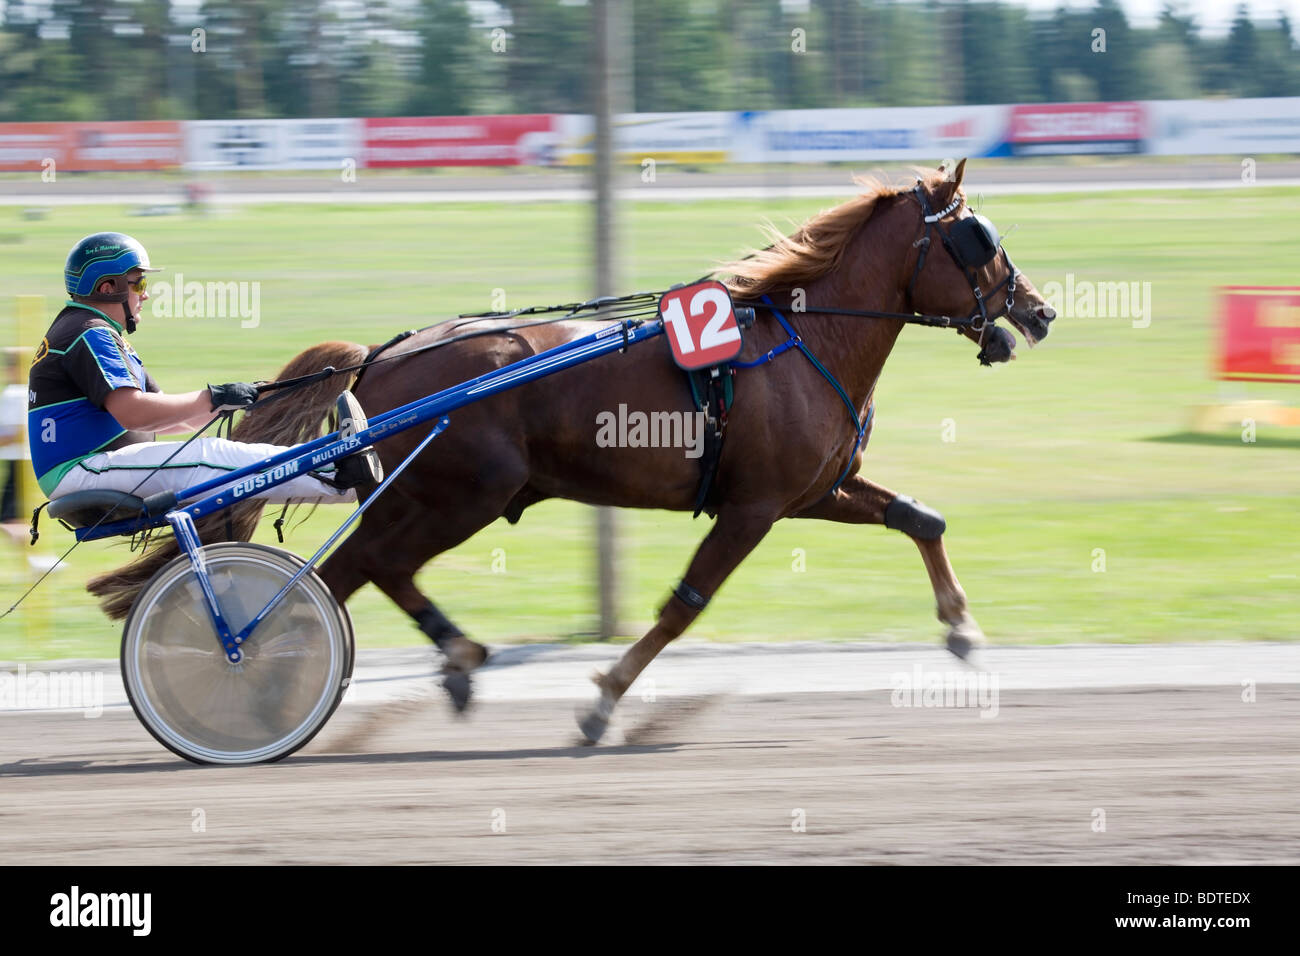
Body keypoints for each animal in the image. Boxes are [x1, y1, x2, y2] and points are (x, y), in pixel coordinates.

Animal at [88, 160, 1057, 743]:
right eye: (978, 238)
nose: (1040, 310)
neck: (800, 338)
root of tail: (387, 355)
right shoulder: (752, 509)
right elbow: (683, 606)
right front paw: (600, 702)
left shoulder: (813, 489)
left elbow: (921, 518)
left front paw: (962, 628)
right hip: (465, 491)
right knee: (353, 571)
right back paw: (271, 682)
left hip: (438, 493)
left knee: (364, 571)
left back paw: (439, 665)